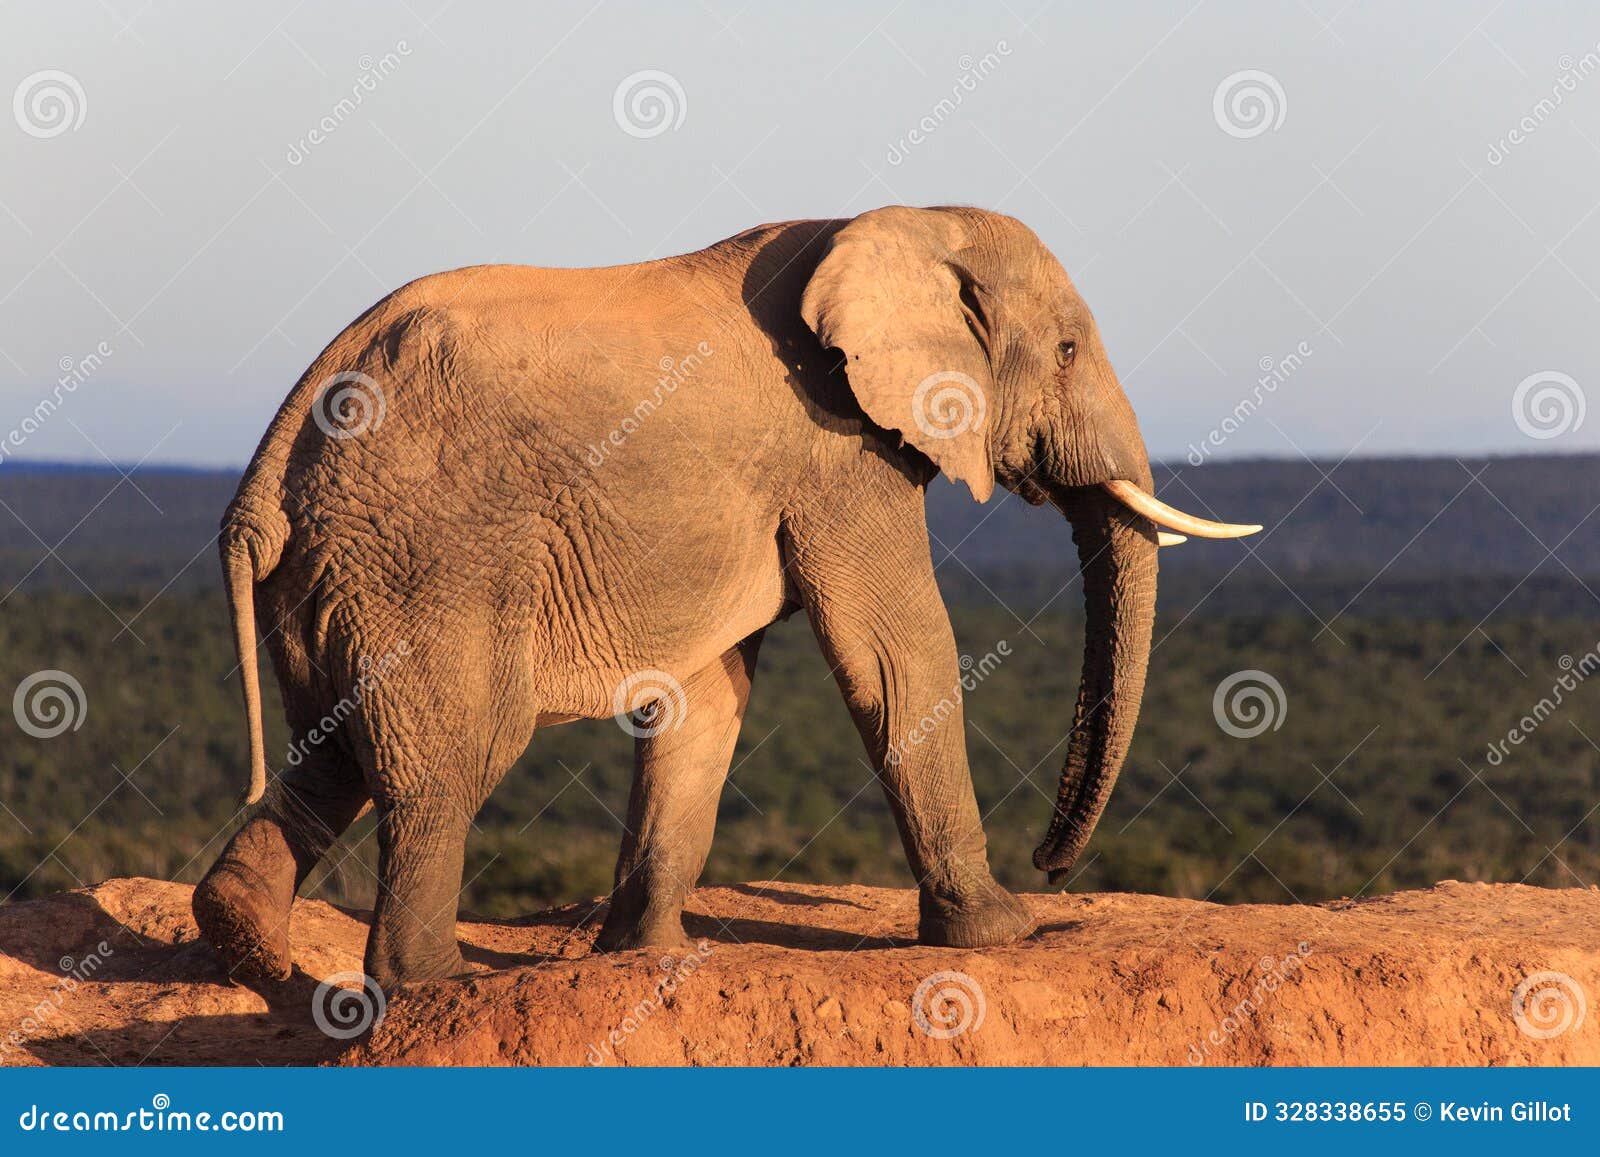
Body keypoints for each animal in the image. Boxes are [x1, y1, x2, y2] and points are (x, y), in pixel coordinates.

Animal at [193, 205, 1259, 988]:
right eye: (1070, 351)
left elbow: (708, 695)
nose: (1052, 865)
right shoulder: (839, 451)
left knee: (338, 747)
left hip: (338, 569)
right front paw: (1003, 931)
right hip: (426, 554)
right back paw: (434, 984)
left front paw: (649, 955)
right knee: (452, 755)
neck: (904, 222)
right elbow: (896, 648)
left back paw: (249, 950)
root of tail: (272, 459)